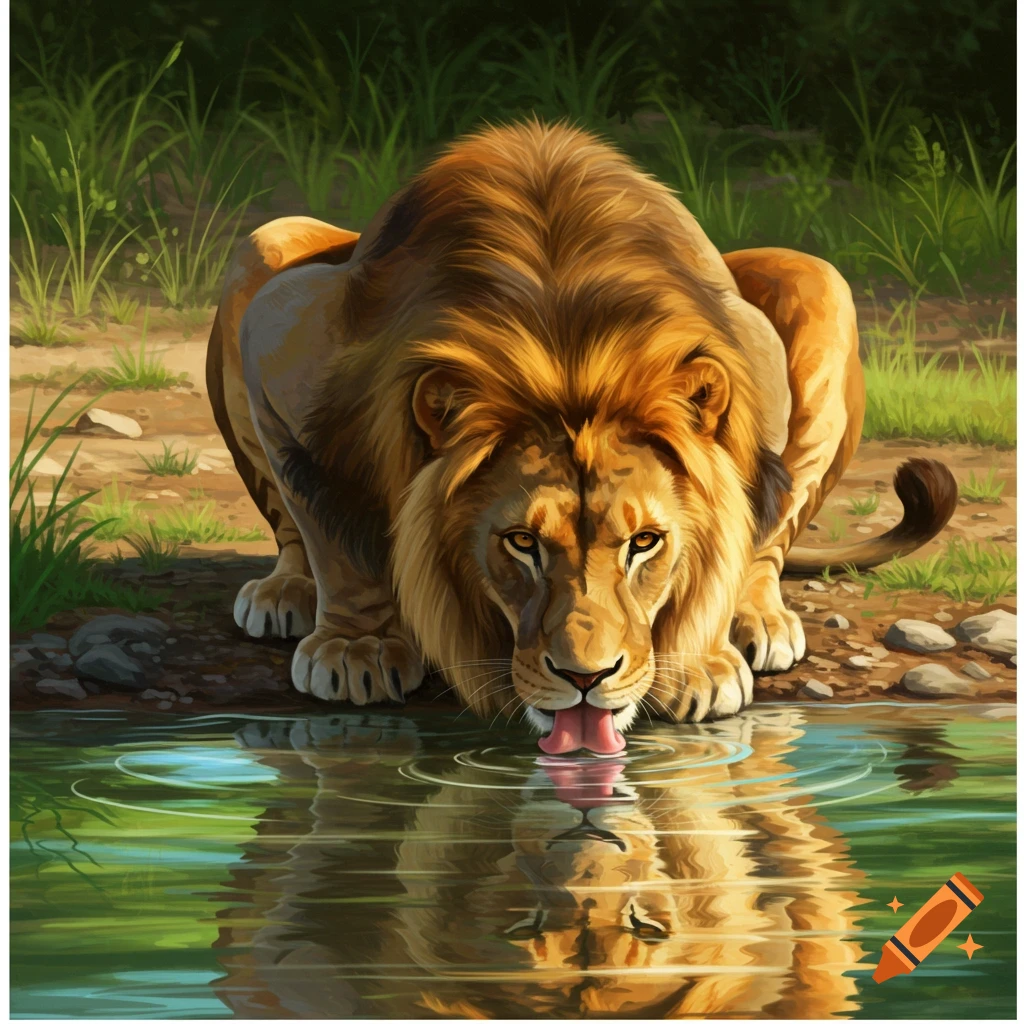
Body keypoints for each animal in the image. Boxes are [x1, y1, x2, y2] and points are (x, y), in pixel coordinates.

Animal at [207, 118, 956, 751]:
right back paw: (285, 595)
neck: (567, 347)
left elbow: (742, 520)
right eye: (521, 543)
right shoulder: (283, 330)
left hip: (820, 279)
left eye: (645, 543)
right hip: (265, 241)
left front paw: (699, 661)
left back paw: (759, 622)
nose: (586, 680)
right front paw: (355, 649)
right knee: (290, 526)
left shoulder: (758, 354)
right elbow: (330, 530)